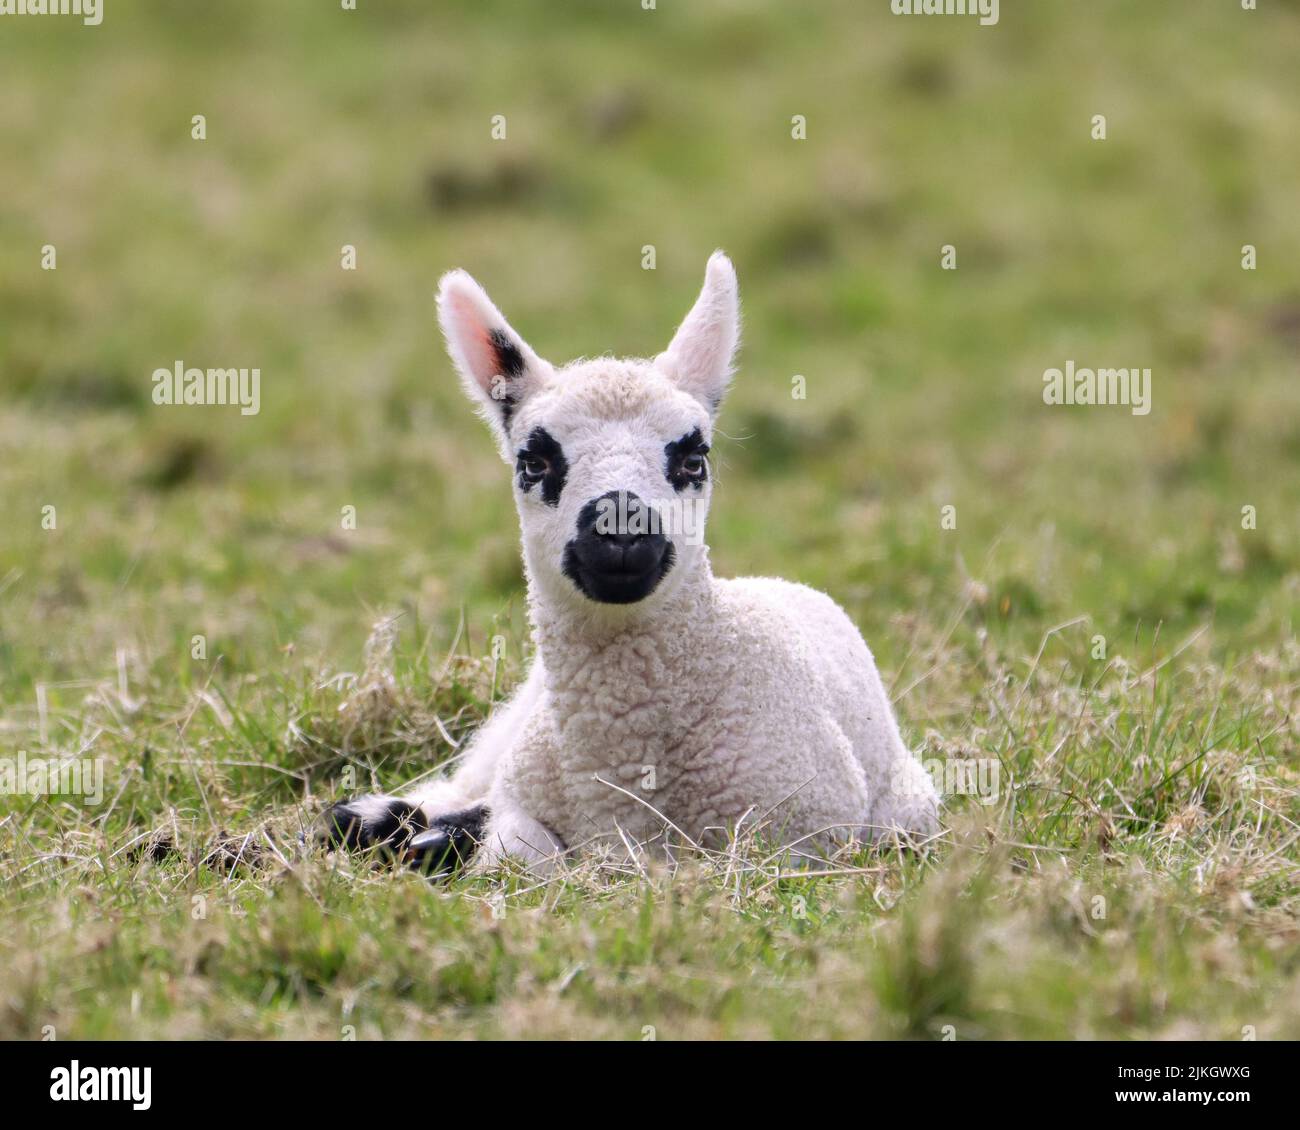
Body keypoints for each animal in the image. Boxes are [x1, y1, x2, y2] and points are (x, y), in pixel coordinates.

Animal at [323, 252, 940, 874]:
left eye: (694, 458)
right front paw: (424, 835)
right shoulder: (521, 793)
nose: (621, 527)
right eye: (533, 461)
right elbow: (520, 849)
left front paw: (431, 839)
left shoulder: (810, 837)